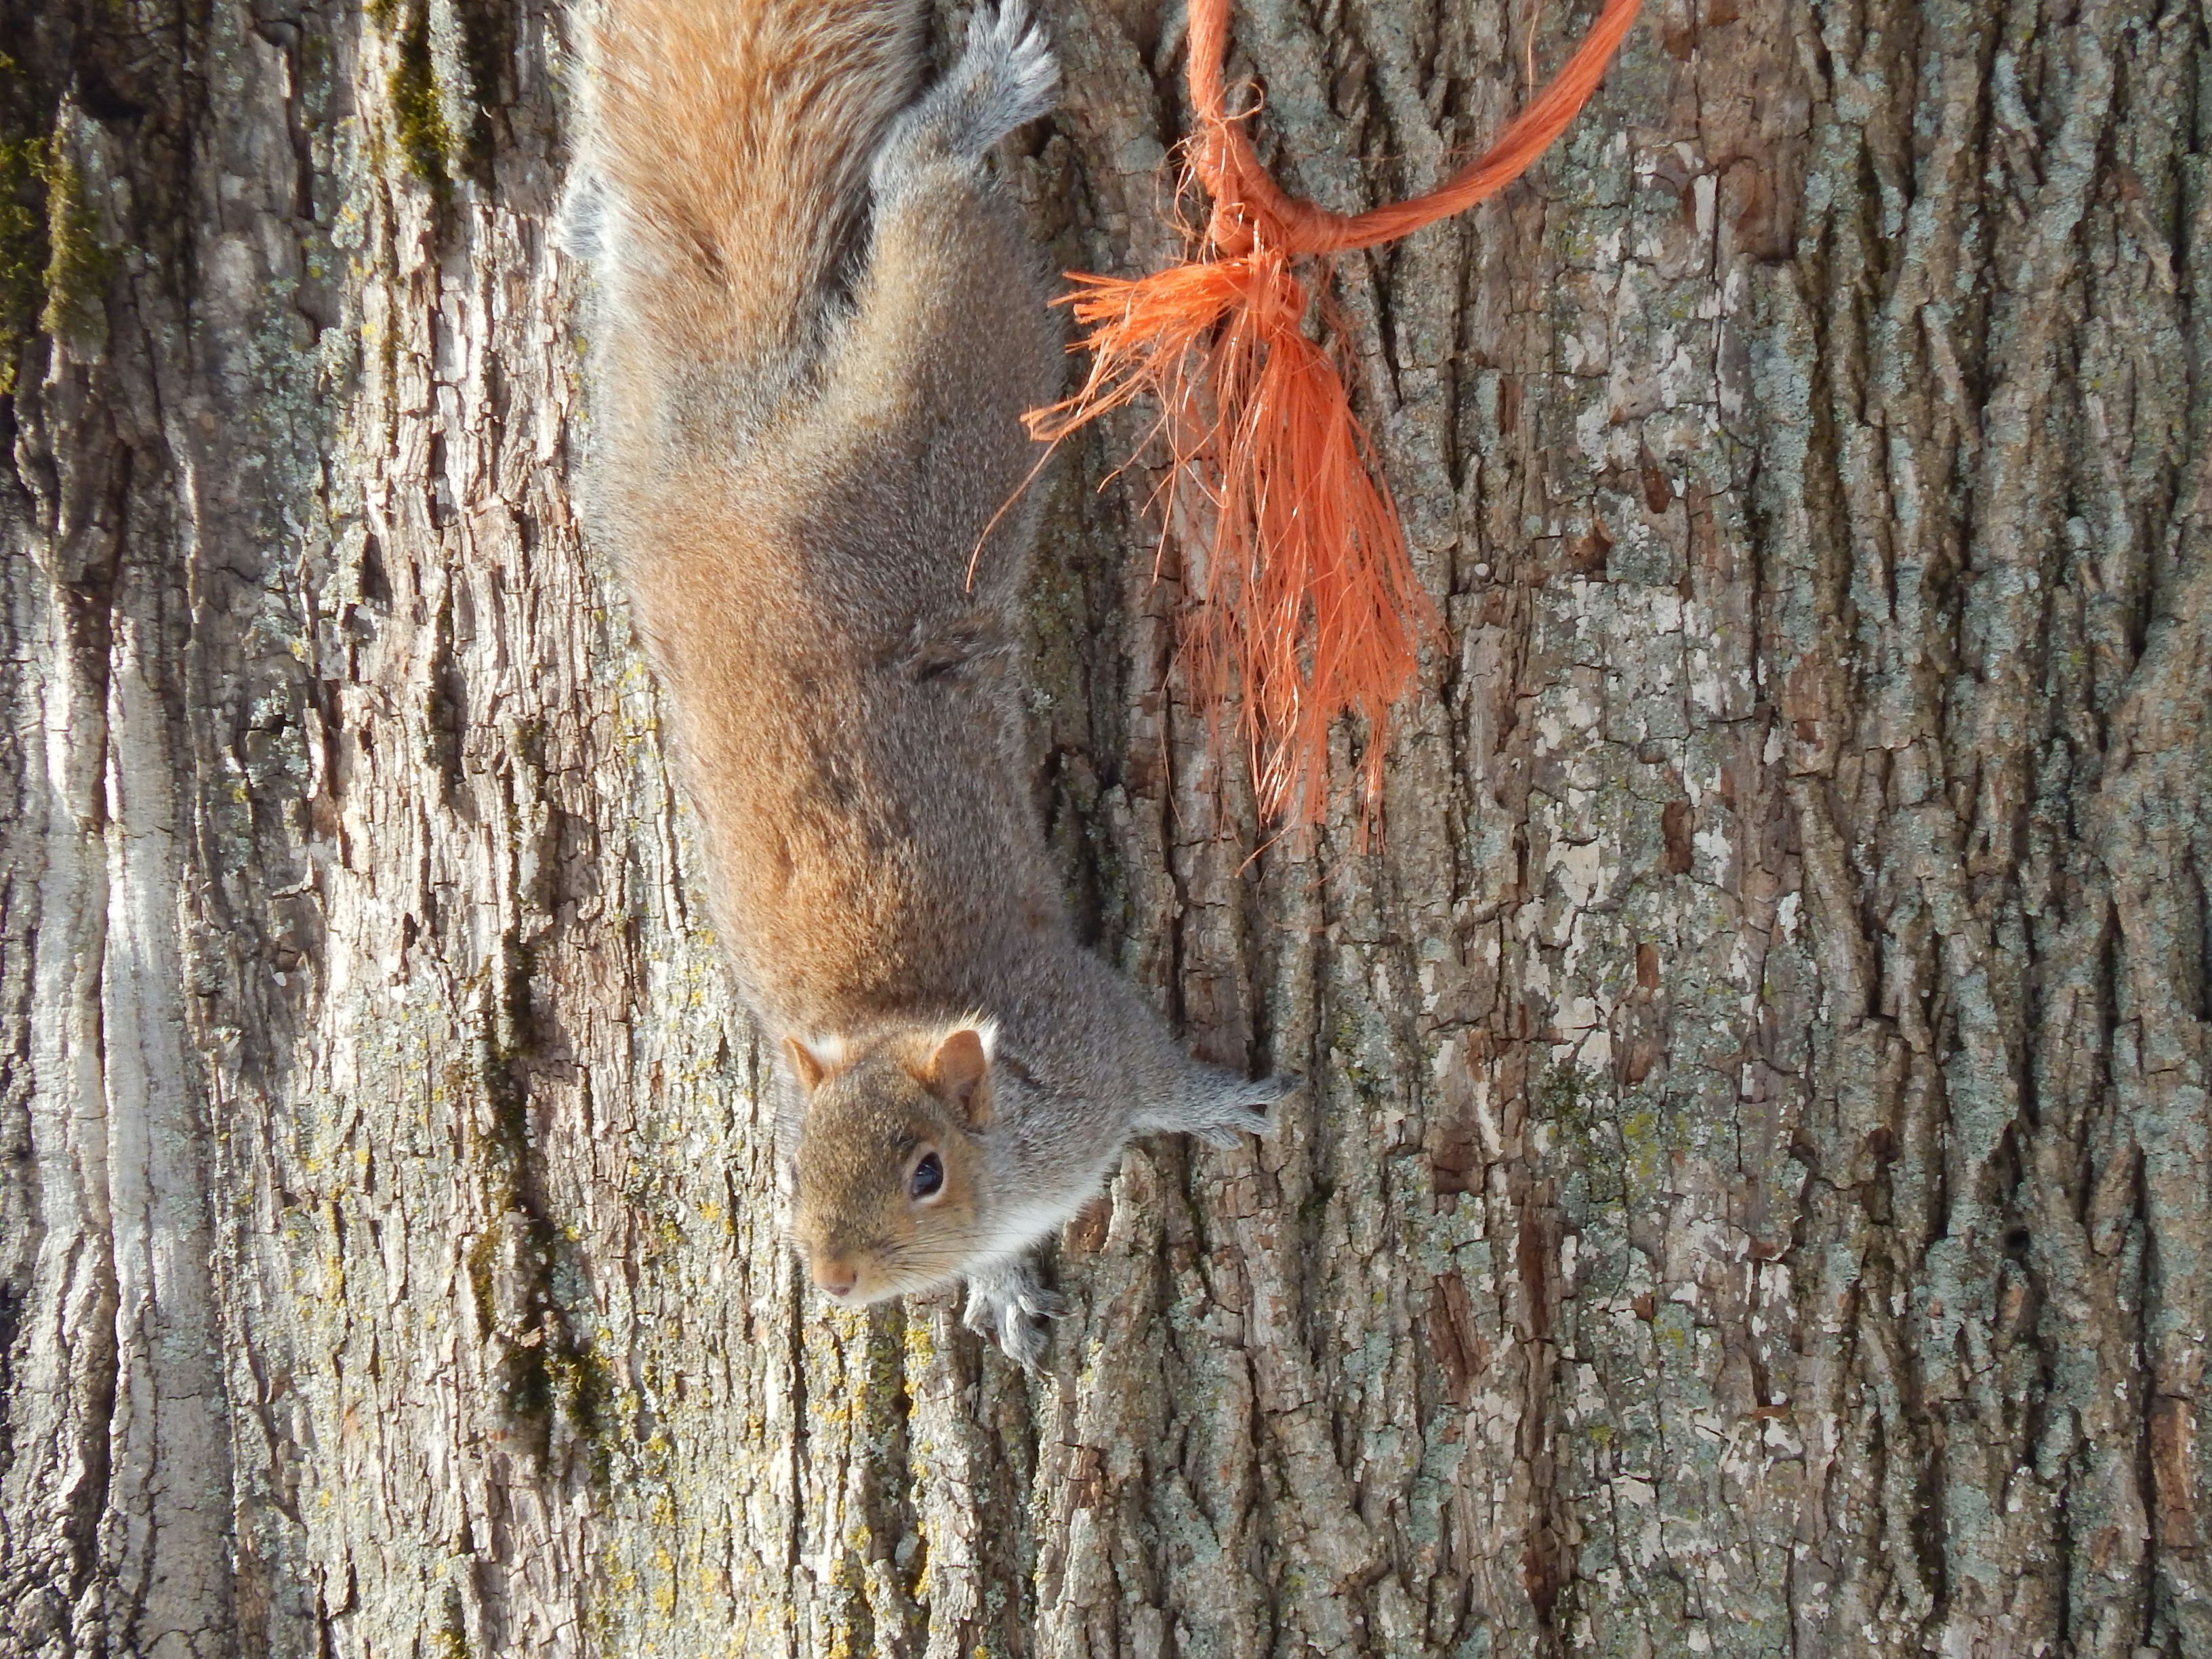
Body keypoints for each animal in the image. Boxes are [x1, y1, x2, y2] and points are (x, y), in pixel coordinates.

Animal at [567, 0, 1290, 1364]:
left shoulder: (1092, 1036)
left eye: (924, 1172)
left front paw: (1230, 1102)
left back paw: (969, 110)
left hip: (951, 394)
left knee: (923, 203)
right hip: (653, 434)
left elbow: (1162, 1076)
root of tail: (734, 464)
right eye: (790, 1171)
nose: (837, 1278)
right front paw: (999, 1288)